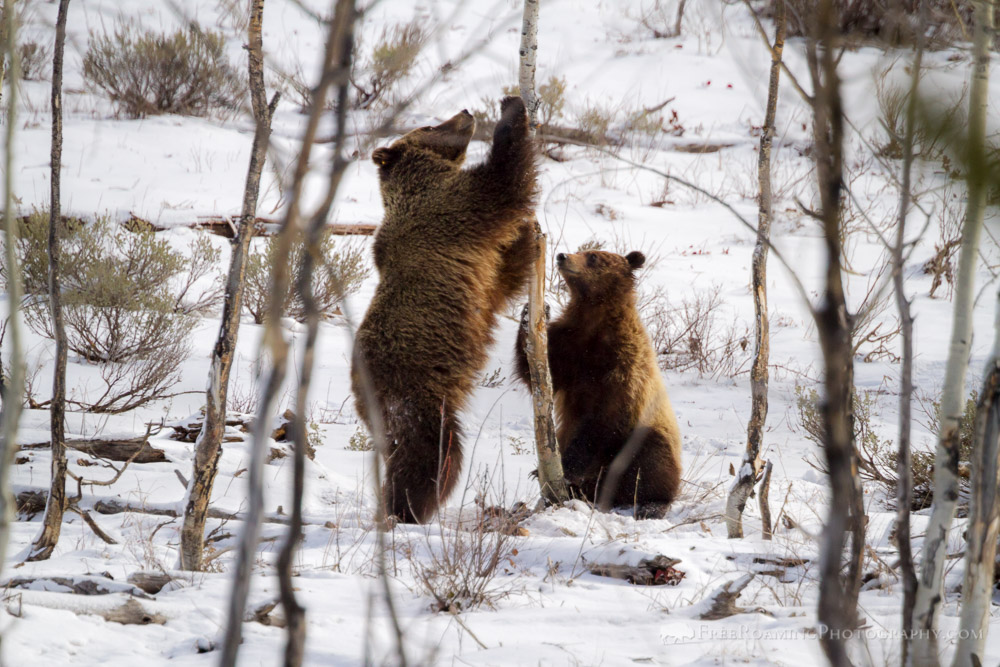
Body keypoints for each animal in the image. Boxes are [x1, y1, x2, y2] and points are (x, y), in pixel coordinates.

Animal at [352, 96, 538, 524]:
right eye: (429, 126)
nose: (466, 112)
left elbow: (503, 276)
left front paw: (532, 238)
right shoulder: (453, 209)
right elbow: (502, 182)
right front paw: (512, 109)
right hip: (412, 388)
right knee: (431, 451)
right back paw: (407, 508)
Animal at [514, 249, 682, 519]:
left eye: (593, 256)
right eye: (581, 250)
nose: (562, 256)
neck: (594, 320)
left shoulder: (622, 366)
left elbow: (601, 420)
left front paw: (566, 468)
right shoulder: (569, 346)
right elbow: (537, 373)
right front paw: (532, 312)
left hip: (645, 438)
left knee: (653, 461)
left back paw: (651, 505)